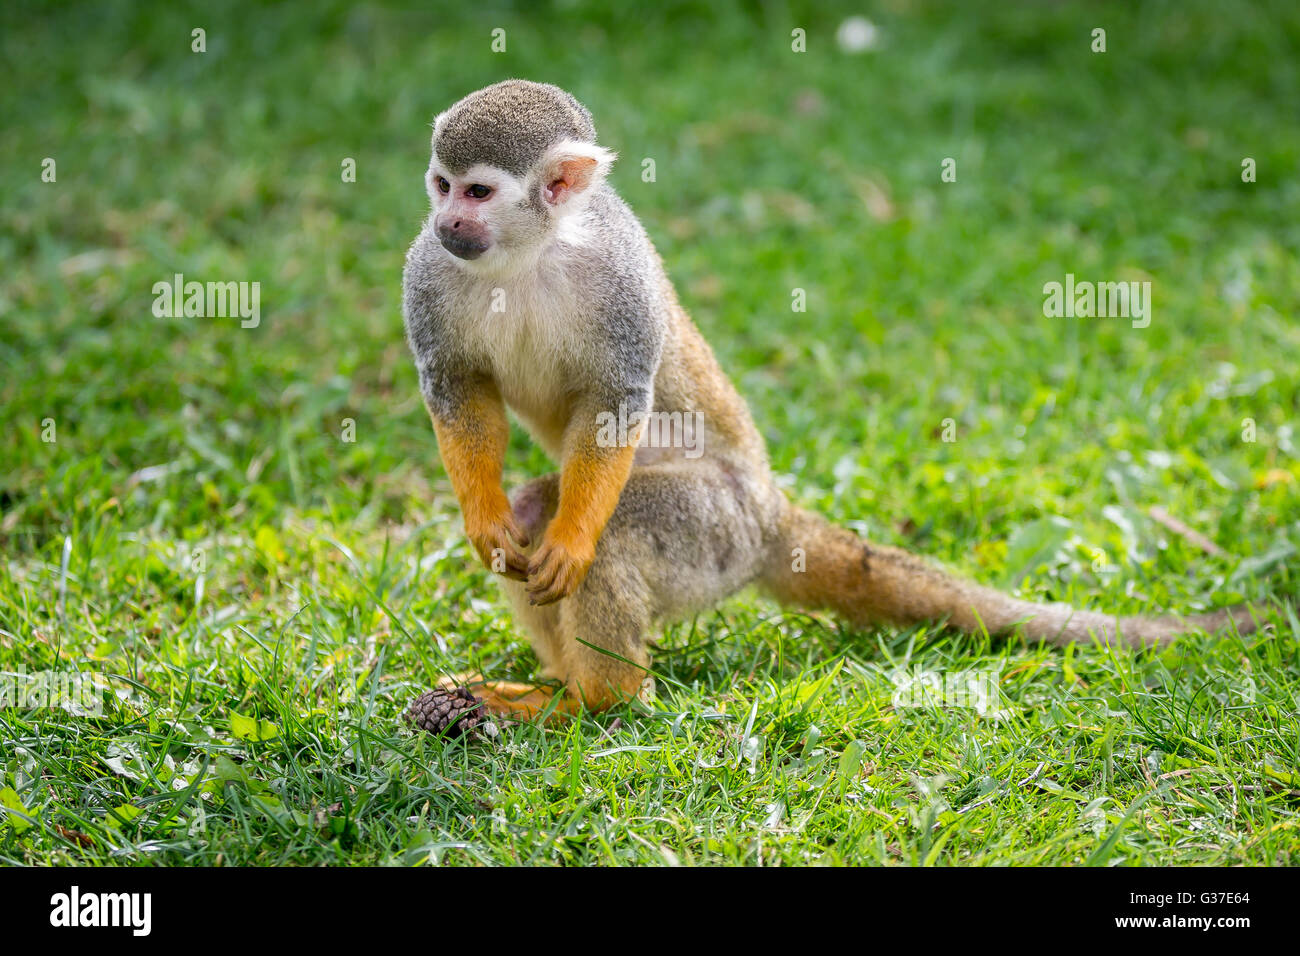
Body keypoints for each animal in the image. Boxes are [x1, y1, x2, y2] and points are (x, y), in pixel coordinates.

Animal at [402, 79, 1261, 721]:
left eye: (479, 191)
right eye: (441, 185)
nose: (448, 219)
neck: (532, 251)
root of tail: (773, 509)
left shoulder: (619, 273)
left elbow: (618, 397)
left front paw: (574, 542)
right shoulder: (427, 270)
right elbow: (458, 388)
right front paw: (483, 521)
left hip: (719, 532)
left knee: (608, 530)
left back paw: (591, 701)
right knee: (530, 513)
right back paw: (549, 680)